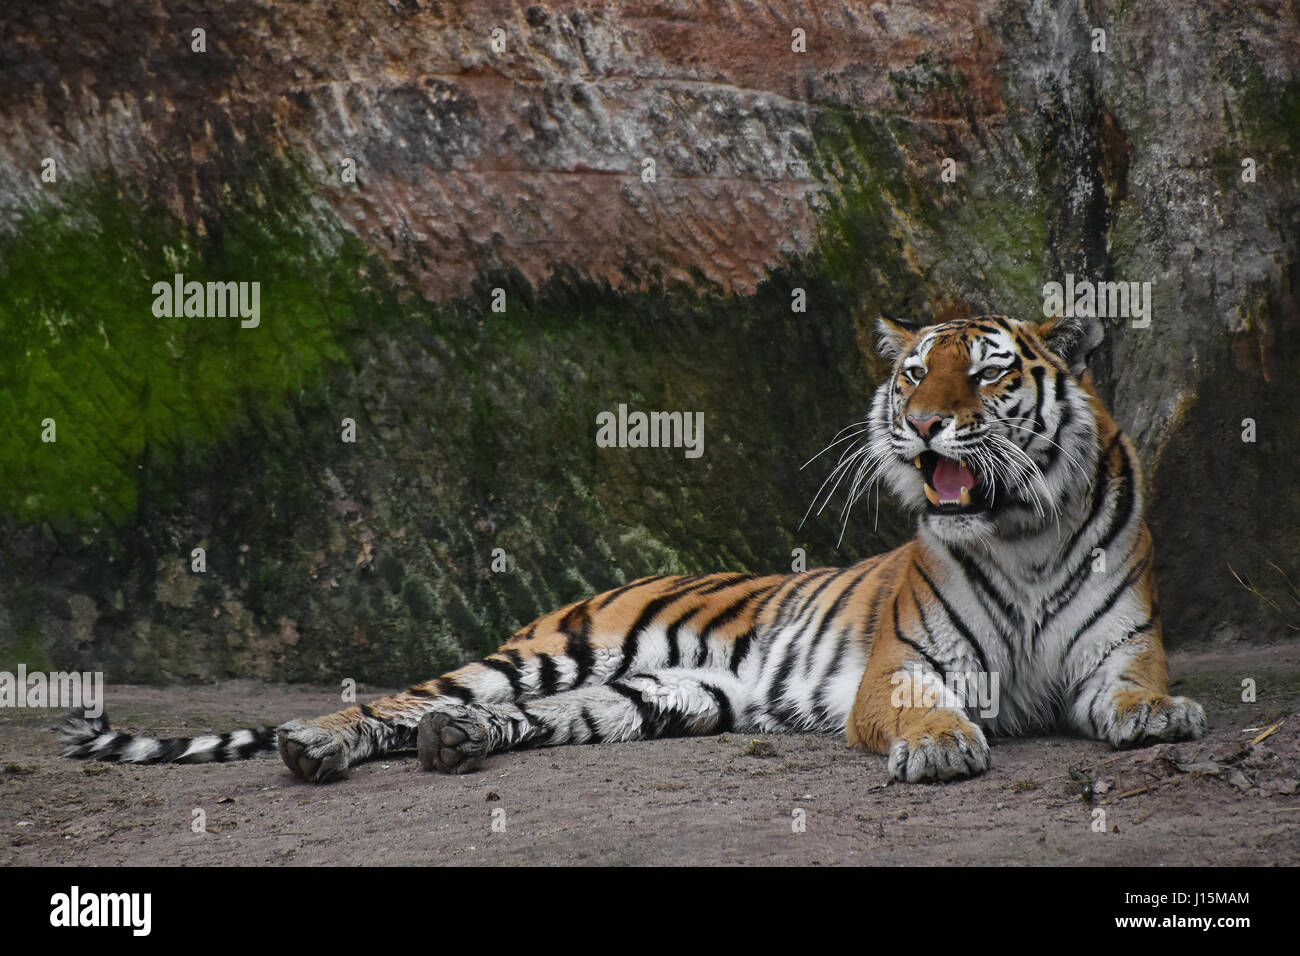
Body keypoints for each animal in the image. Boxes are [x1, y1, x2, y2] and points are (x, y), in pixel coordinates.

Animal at [59, 311, 1206, 784]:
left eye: (988, 374)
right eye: (916, 371)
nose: (923, 423)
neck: (1019, 534)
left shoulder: (1121, 650)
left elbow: (1139, 690)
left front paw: (1165, 719)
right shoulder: (907, 666)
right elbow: (925, 710)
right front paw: (938, 747)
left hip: (661, 694)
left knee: (482, 719)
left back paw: (455, 746)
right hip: (547, 651)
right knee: (387, 700)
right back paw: (317, 744)